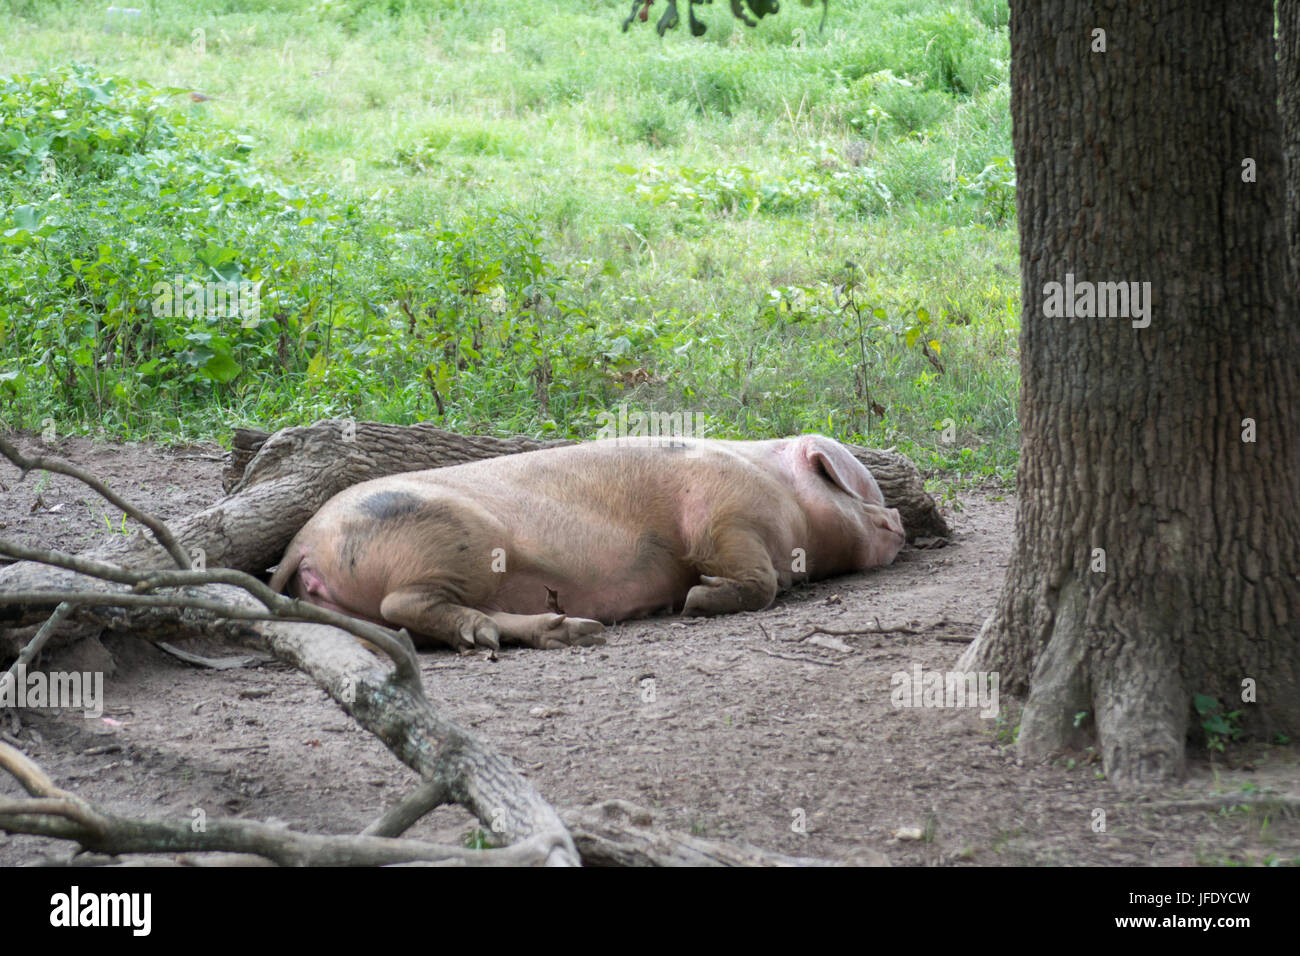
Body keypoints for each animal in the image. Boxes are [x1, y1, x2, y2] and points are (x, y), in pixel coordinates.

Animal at [268, 434, 905, 651]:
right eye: (851, 486)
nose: (899, 519)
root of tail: (307, 539)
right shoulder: (723, 513)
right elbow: (757, 579)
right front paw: (694, 599)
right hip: (453, 541)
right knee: (404, 603)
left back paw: (576, 632)